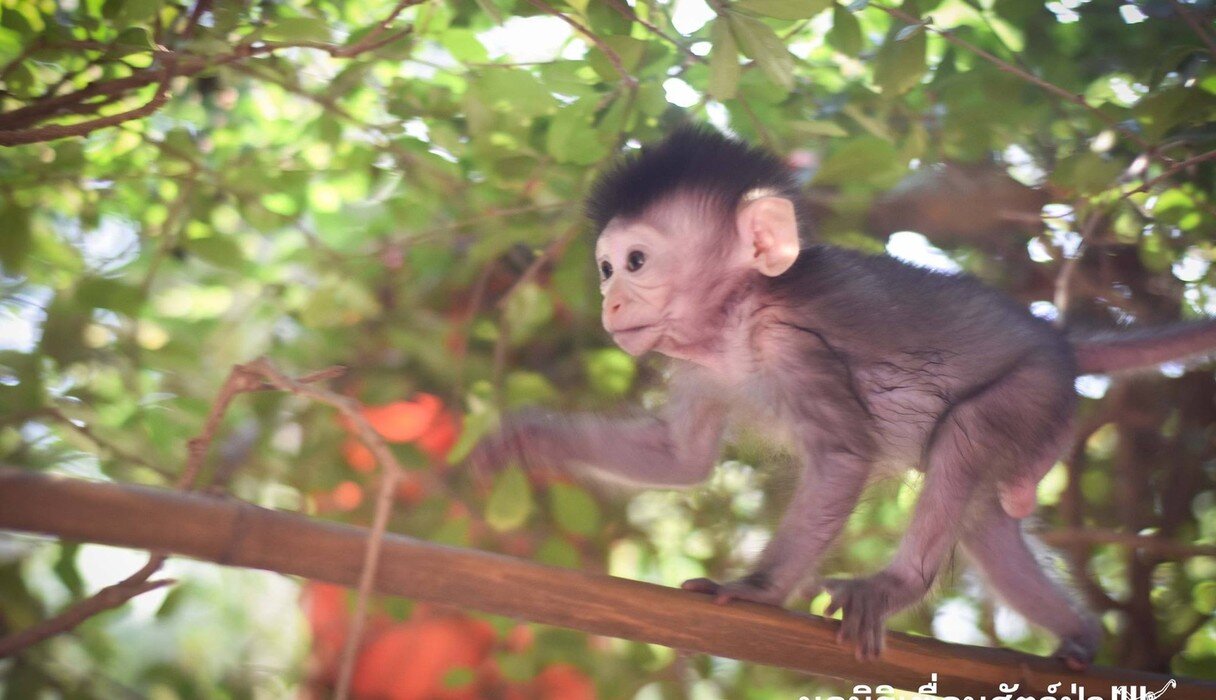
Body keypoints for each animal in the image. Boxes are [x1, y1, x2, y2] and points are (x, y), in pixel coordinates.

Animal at [467, 126, 1216, 669]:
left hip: (1033, 389)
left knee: (970, 431)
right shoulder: (701, 369)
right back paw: (1081, 635)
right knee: (988, 524)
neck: (739, 318)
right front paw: (528, 437)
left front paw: (756, 590)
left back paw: (896, 586)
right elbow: (680, 459)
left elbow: (844, 456)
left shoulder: (793, 344)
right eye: (604, 268)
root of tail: (1055, 340)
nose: (611, 301)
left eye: (636, 262)